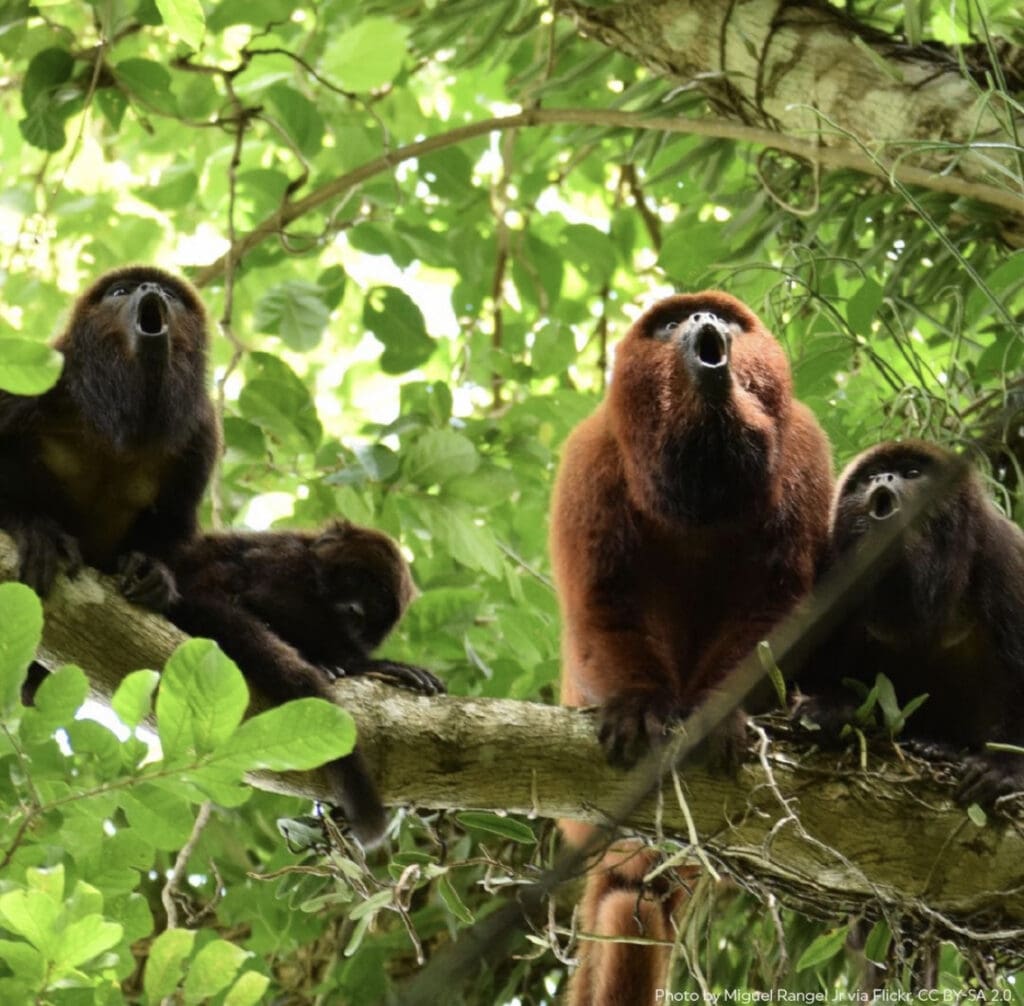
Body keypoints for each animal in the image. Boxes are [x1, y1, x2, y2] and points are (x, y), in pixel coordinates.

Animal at [0, 265, 217, 610]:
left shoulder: (201, 430)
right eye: (120, 292)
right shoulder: (43, 380)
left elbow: (177, 523)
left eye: (170, 295)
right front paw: (28, 523)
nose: (151, 286)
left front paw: (153, 568)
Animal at [168, 519, 445, 847]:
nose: (355, 610)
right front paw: (376, 665)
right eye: (354, 578)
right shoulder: (286, 558)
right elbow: (267, 595)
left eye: (376, 601)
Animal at [550, 291, 833, 1005]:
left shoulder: (804, 448)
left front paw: (719, 718)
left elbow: (775, 606)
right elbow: (603, 601)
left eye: (724, 320)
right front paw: (639, 706)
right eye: (674, 323)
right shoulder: (592, 453)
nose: (705, 325)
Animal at [796, 439, 1024, 808]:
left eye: (912, 473)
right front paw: (831, 706)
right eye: (871, 475)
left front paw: (1006, 765)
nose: (883, 478)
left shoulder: (1004, 556)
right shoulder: (831, 567)